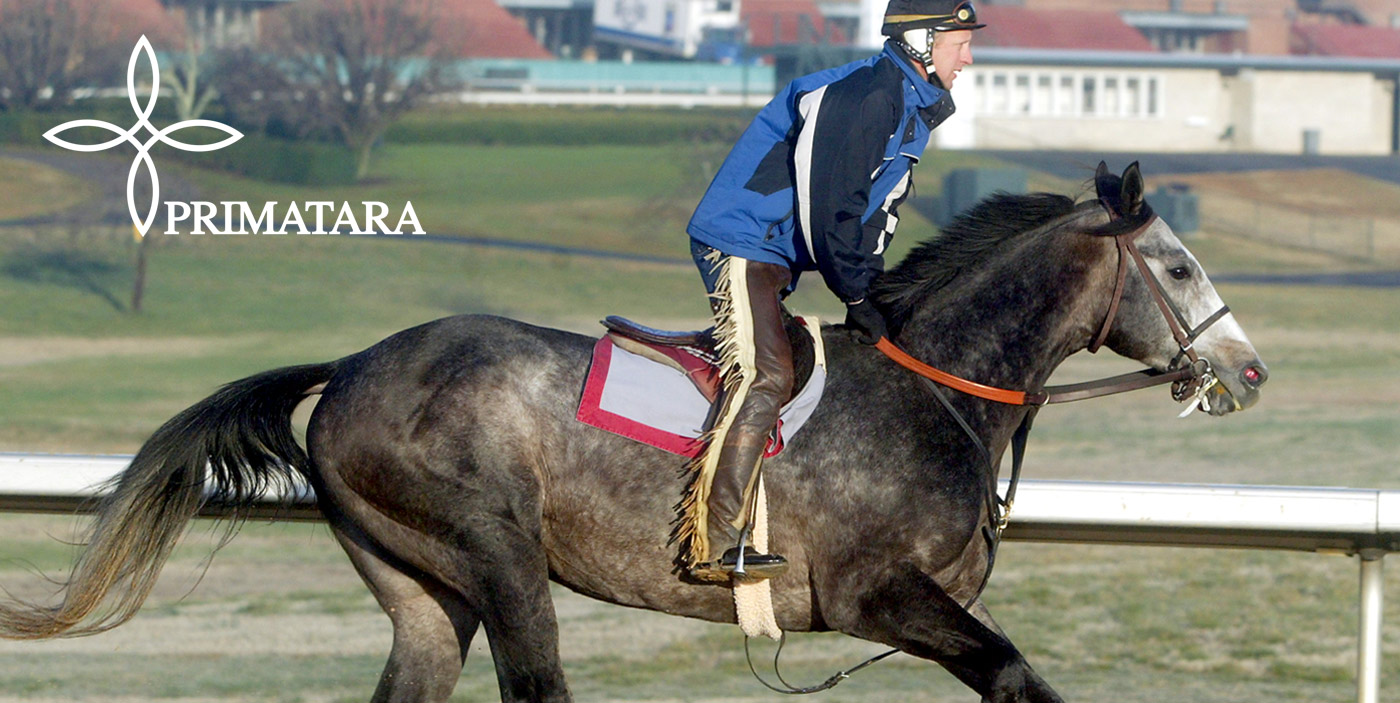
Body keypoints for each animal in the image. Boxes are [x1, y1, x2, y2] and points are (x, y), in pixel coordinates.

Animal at [0, 162, 1266, 703]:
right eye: (1176, 266)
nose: (1246, 367)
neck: (934, 391)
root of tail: (352, 367)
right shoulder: (874, 595)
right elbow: (1010, 673)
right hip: (495, 553)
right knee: (537, 680)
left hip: (422, 588)